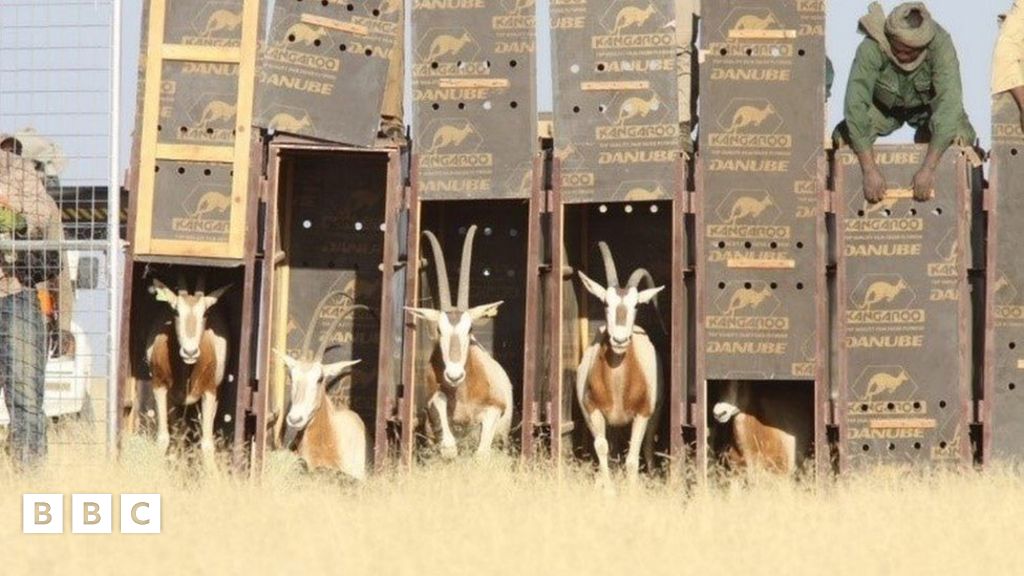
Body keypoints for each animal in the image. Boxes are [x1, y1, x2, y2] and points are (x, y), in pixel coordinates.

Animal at [145, 274, 231, 466]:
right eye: (176, 311)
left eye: (205, 313)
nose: (190, 352)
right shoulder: (159, 388)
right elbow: (163, 438)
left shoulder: (209, 392)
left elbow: (207, 444)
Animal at [406, 226, 514, 460]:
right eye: (439, 330)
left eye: (470, 329)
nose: (454, 375)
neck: (461, 396)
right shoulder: (434, 403)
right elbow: (447, 442)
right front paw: (450, 448)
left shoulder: (495, 409)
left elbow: (481, 453)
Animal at [576, 242, 664, 491]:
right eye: (606, 302)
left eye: (636, 305)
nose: (619, 340)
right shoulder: (593, 411)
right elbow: (602, 448)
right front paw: (608, 491)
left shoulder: (643, 414)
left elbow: (633, 457)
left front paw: (631, 491)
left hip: (654, 415)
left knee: (647, 446)